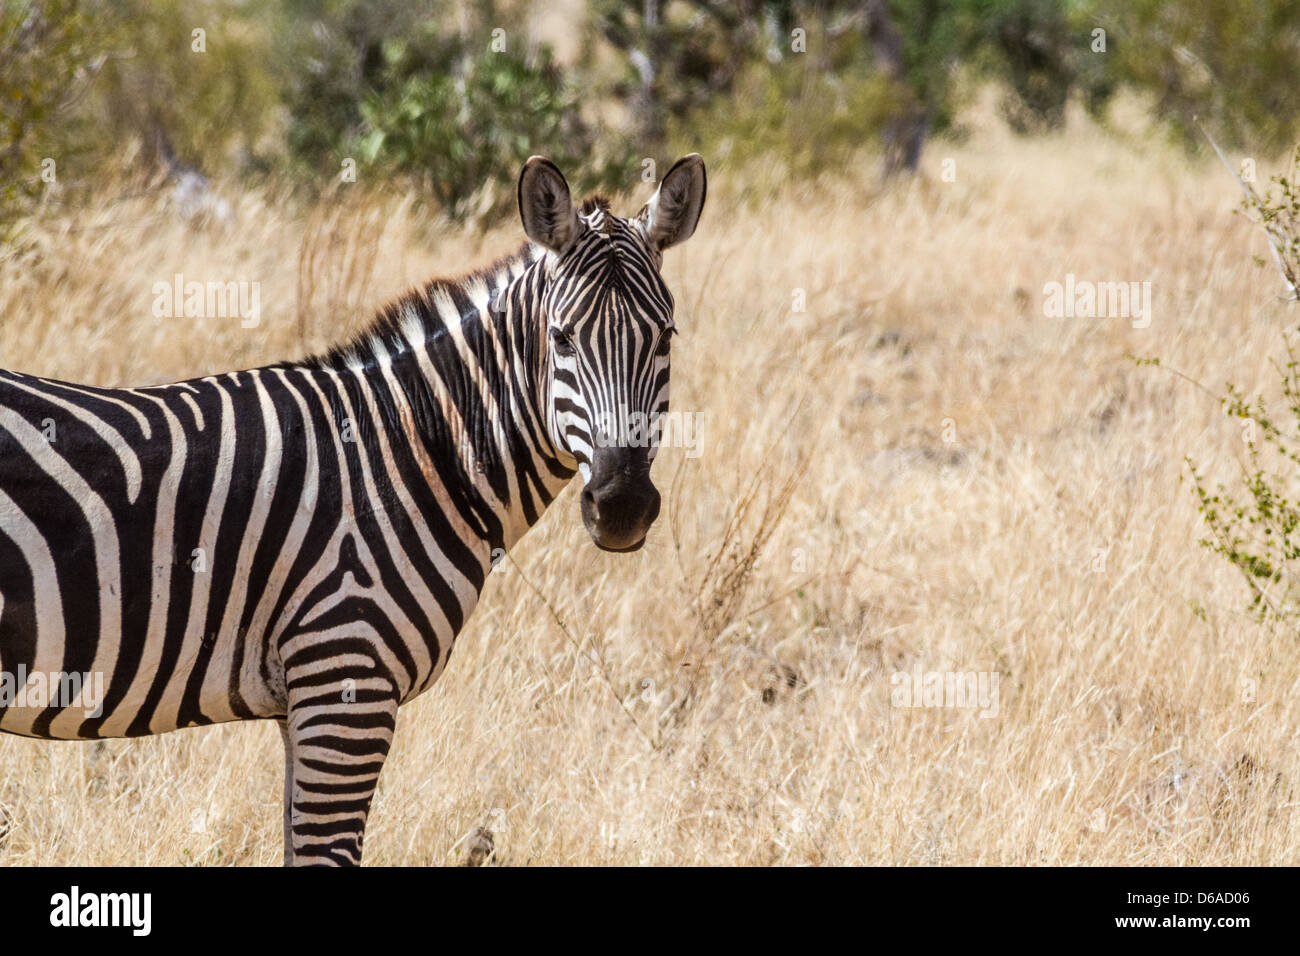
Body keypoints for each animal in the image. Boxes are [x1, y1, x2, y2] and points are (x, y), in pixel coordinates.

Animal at [0, 154, 707, 865]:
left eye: (666, 336)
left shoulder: (304, 702)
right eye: (561, 339)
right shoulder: (346, 684)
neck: (407, 450)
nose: (622, 505)